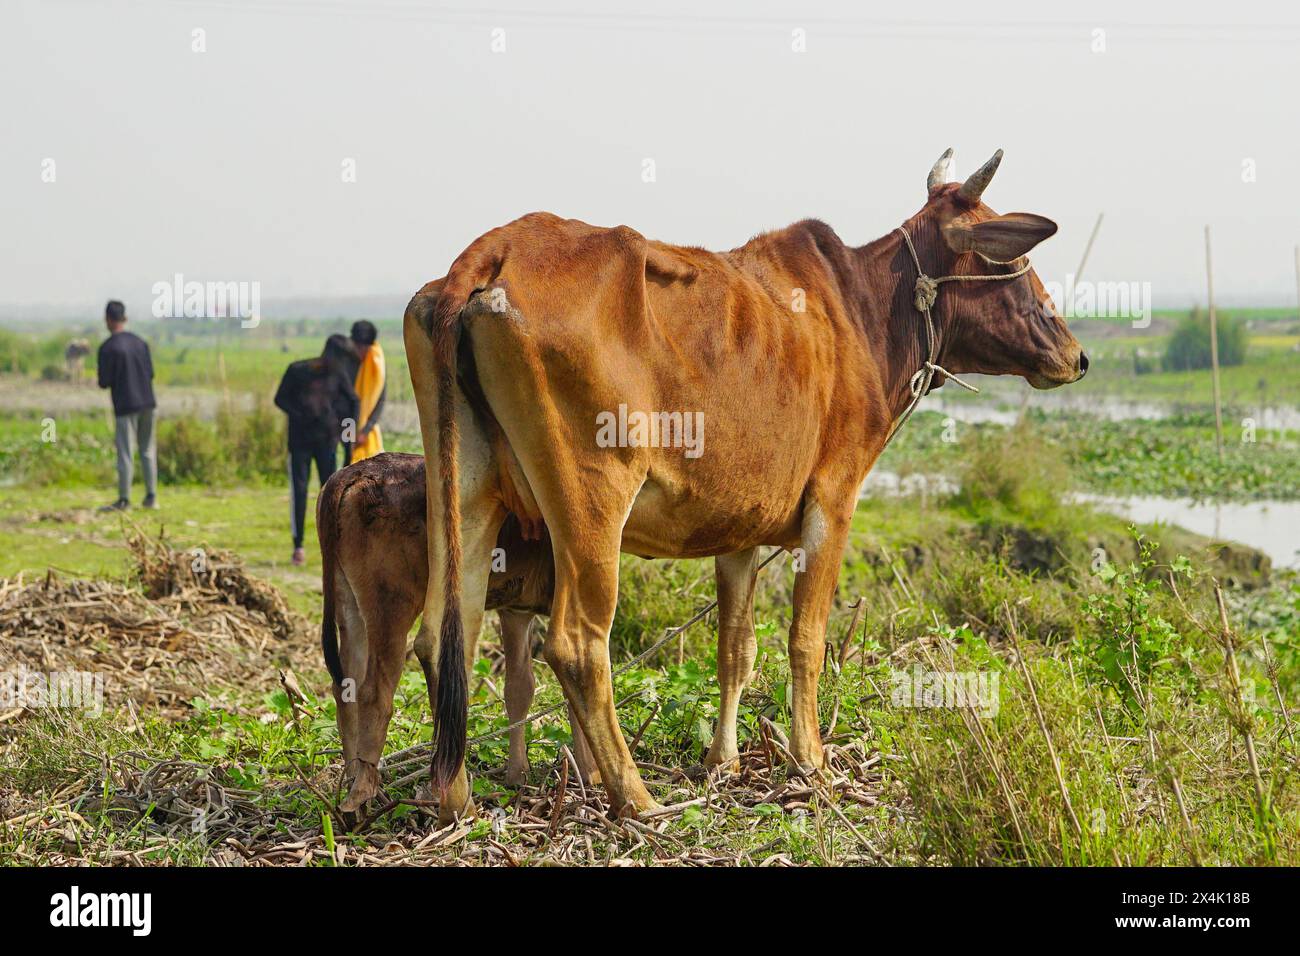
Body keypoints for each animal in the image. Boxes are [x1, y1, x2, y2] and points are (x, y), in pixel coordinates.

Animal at [404, 148, 1088, 822]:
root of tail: (497, 249)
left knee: (445, 633)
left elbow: (736, 648)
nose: (1076, 356)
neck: (864, 312)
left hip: (466, 494)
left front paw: (724, 760)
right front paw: (810, 761)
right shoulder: (834, 500)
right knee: (576, 645)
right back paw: (635, 796)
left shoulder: (739, 530)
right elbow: (806, 639)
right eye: (1013, 259)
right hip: (592, 503)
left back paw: (456, 799)